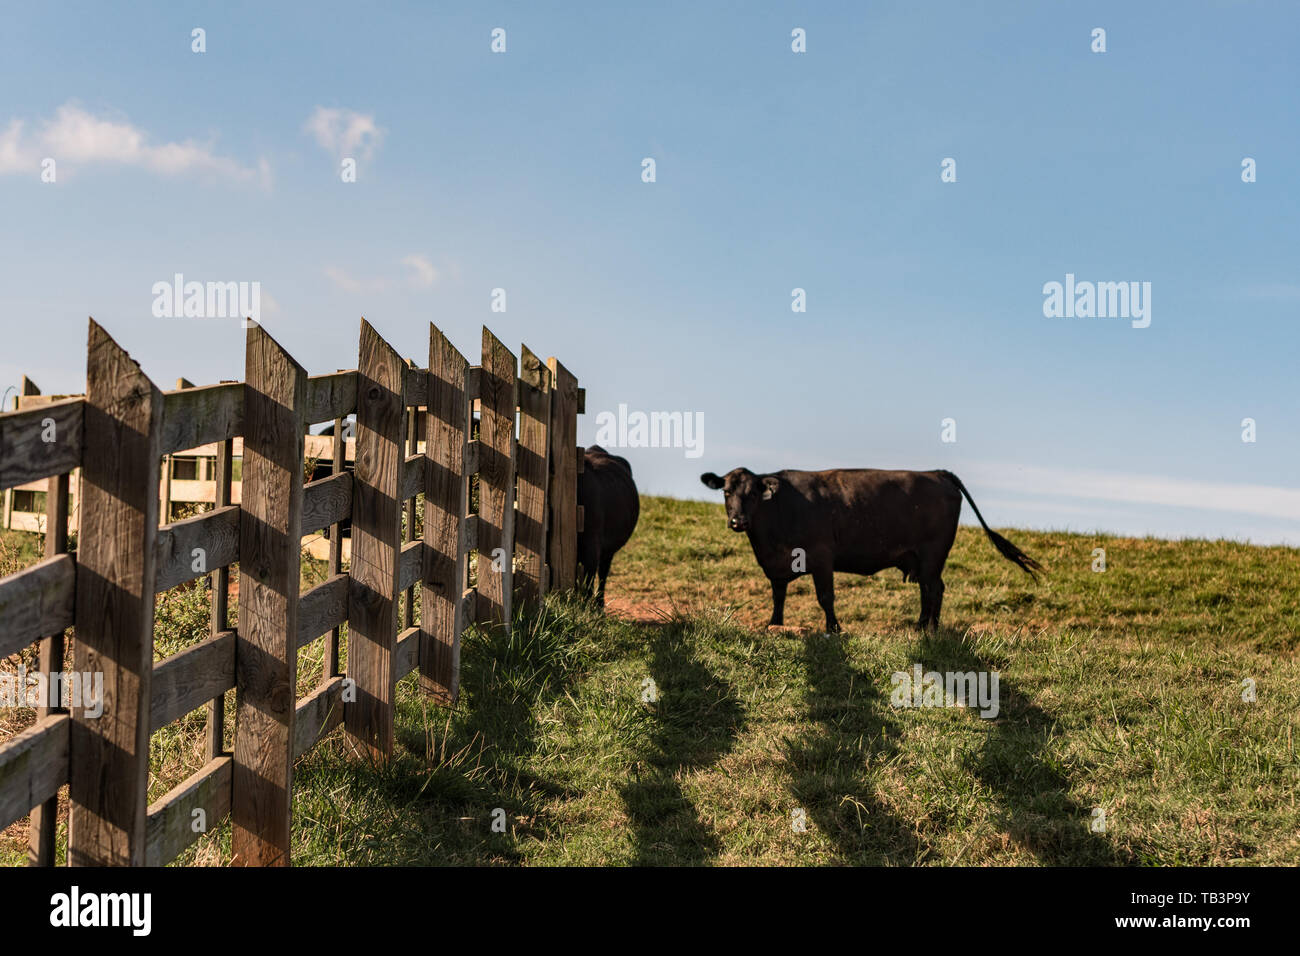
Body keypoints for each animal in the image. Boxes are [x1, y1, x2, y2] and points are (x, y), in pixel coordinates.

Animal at [699, 467, 1041, 632]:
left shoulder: (821, 557)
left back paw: (927, 628)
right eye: (727, 492)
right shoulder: (776, 566)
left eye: (753, 494)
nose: (738, 521)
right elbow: (778, 596)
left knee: (933, 589)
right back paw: (926, 625)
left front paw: (834, 628)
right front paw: (775, 624)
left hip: (933, 554)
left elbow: (826, 597)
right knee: (931, 589)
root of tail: (937, 473)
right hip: (926, 559)